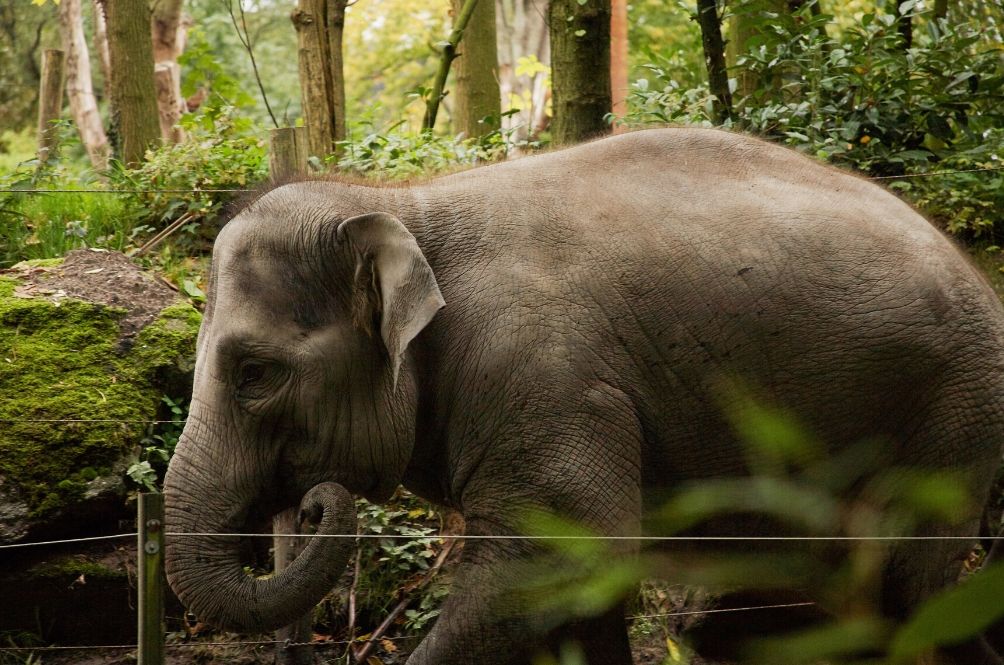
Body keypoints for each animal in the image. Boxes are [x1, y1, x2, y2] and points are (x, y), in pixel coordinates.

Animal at [163, 128, 1004, 664]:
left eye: (253, 372)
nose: (313, 502)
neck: (404, 205)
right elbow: (585, 587)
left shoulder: (545, 375)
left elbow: (560, 552)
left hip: (950, 413)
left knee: (905, 586)